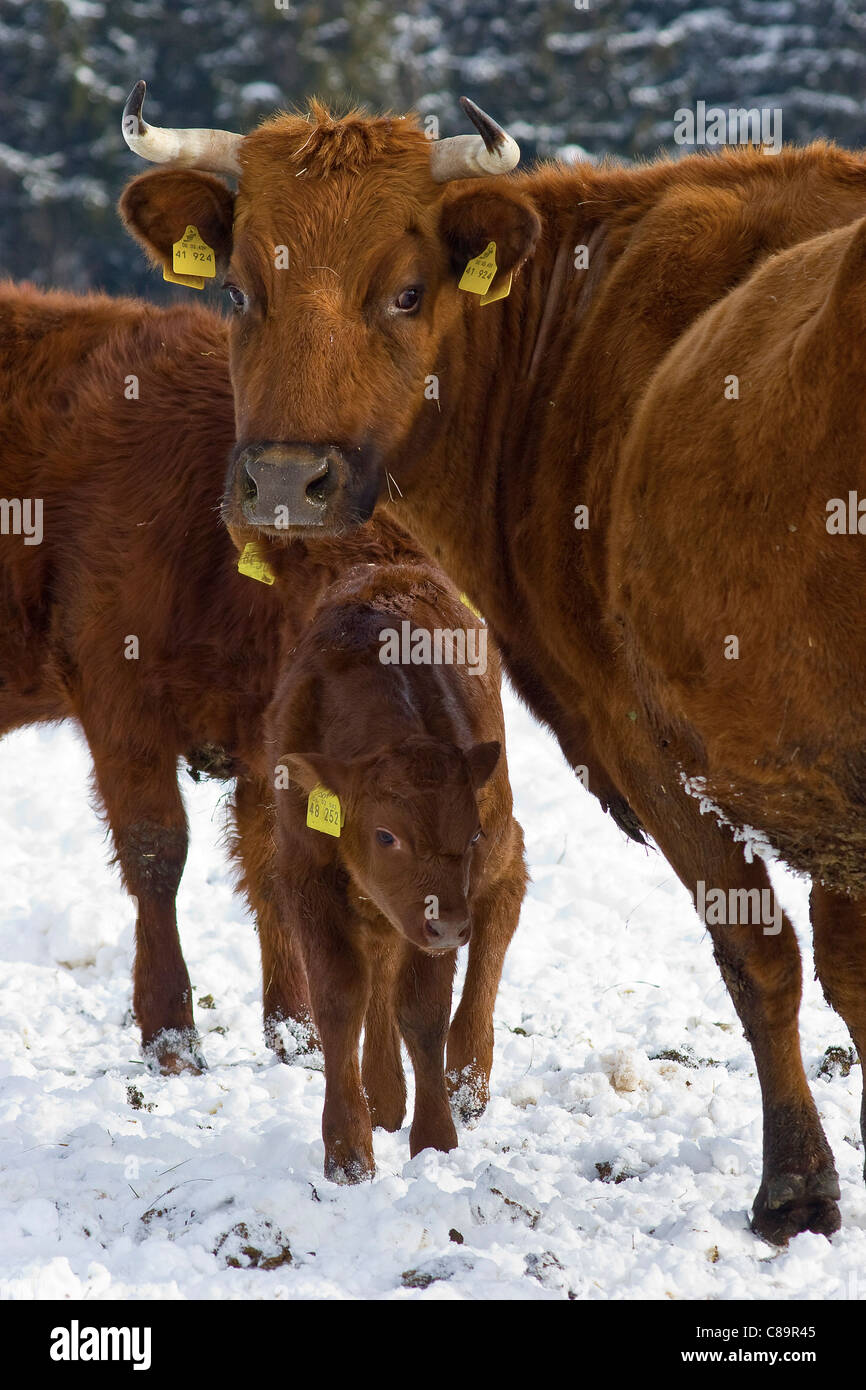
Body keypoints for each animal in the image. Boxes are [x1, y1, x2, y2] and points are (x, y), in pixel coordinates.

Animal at [0, 282, 521, 1123]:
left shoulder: (264, 746)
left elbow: (268, 868)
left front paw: (297, 1035)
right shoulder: (121, 712)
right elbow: (157, 855)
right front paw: (172, 1038)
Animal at [266, 560, 526, 1181]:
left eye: (470, 833)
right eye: (387, 836)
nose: (449, 926)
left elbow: (423, 1011)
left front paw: (435, 1141)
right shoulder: (305, 876)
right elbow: (340, 999)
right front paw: (348, 1152)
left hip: (498, 845)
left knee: (505, 900)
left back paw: (467, 1080)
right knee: (381, 957)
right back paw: (384, 1098)